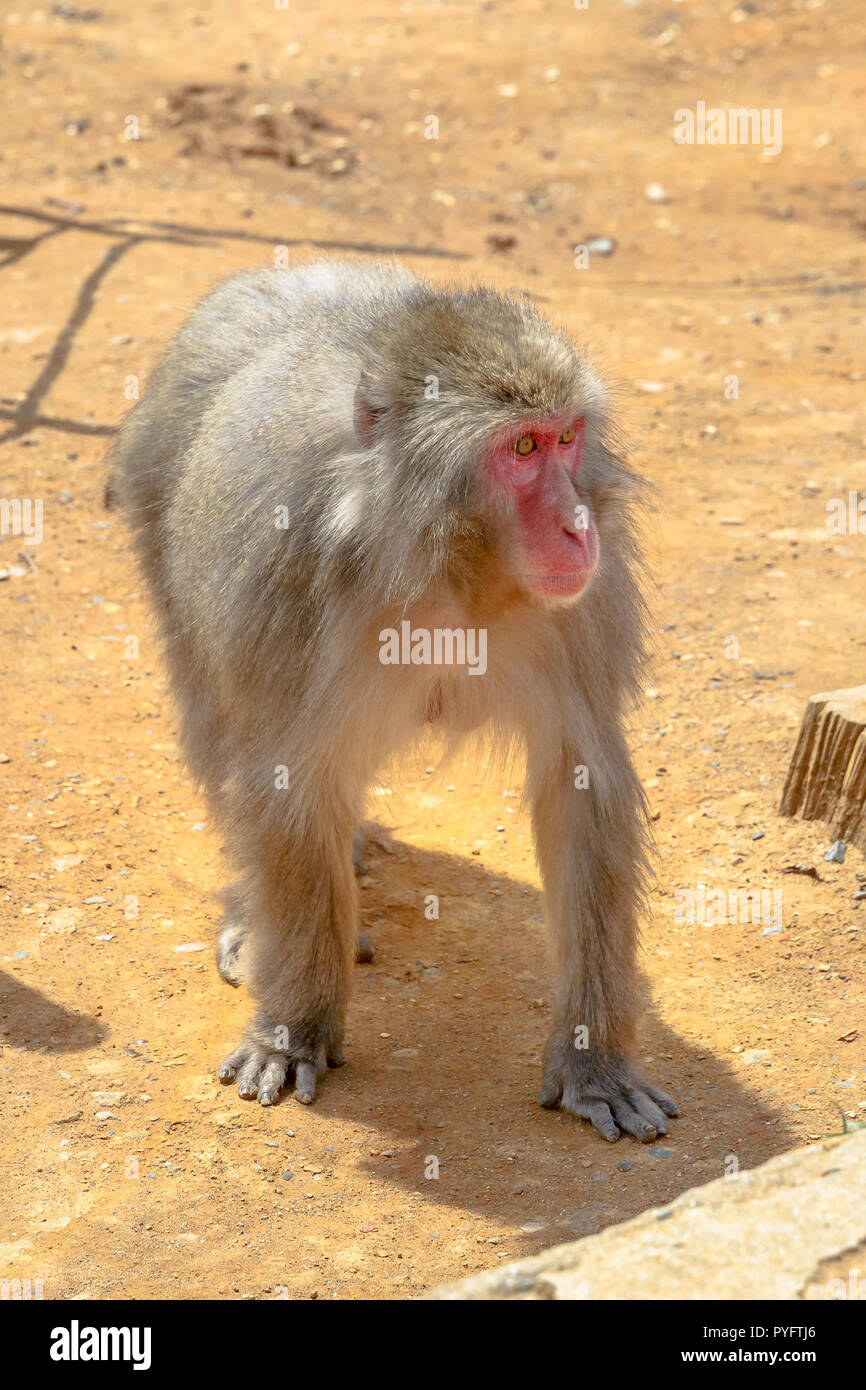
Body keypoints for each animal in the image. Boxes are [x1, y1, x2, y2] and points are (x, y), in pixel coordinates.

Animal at [107, 259, 679, 1143]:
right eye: (521, 448)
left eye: (567, 437)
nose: (580, 525)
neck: (445, 563)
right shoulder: (288, 573)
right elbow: (283, 775)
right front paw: (295, 1028)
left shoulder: (585, 604)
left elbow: (581, 780)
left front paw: (596, 1063)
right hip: (154, 507)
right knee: (219, 720)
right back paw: (255, 915)